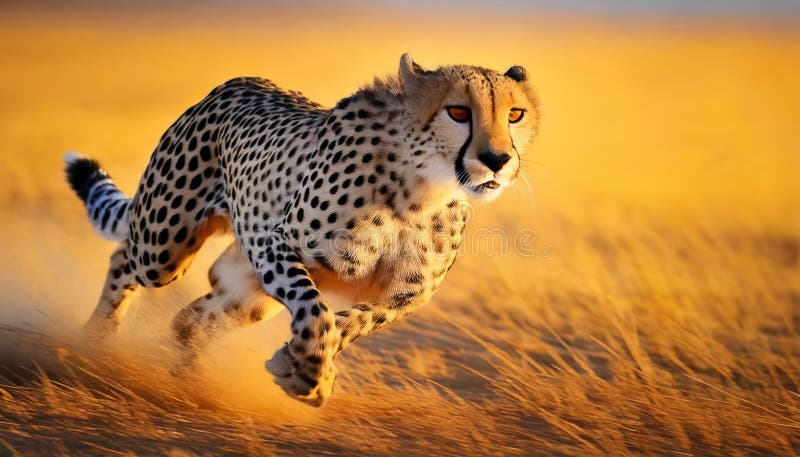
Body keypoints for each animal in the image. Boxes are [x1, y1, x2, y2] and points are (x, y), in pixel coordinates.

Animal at [64, 54, 539, 406]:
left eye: (515, 114)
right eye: (458, 112)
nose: (497, 159)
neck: (424, 189)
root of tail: (236, 82)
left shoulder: (405, 295)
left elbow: (354, 321)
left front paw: (291, 362)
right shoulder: (274, 245)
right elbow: (314, 308)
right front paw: (310, 372)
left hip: (247, 293)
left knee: (190, 318)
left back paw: (189, 378)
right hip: (163, 249)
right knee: (125, 257)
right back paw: (96, 339)